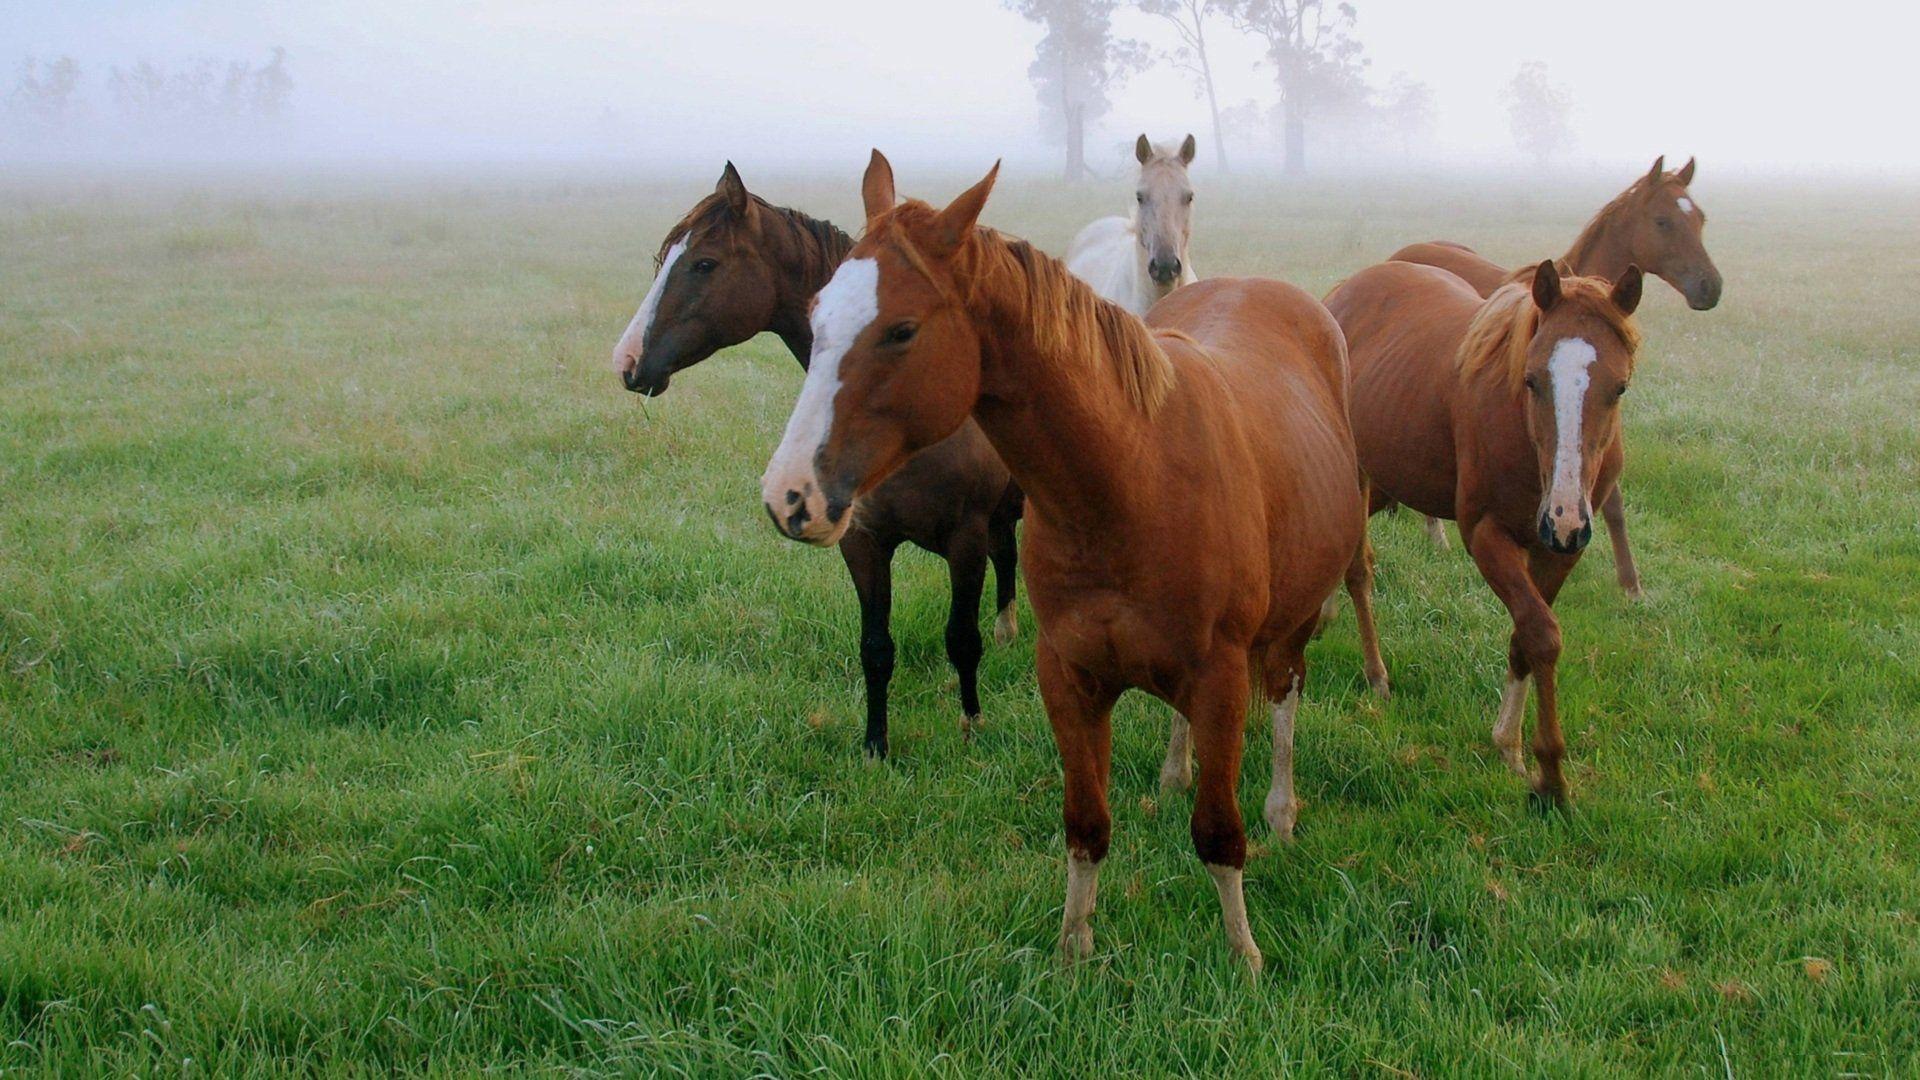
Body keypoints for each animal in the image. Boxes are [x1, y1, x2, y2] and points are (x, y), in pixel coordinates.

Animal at [611, 162, 1024, 758]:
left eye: (704, 263)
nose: (627, 362)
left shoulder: (963, 539)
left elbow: (961, 640)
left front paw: (971, 725)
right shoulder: (863, 542)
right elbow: (876, 648)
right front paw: (875, 748)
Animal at [1326, 259, 1644, 807]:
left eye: (1619, 387)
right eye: (1532, 380)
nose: (1563, 516)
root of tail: (1344, 290)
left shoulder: (1558, 552)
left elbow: (1525, 635)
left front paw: (1509, 746)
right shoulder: (1486, 536)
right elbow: (1541, 634)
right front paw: (1550, 776)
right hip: (1358, 472)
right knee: (1358, 570)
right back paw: (1376, 674)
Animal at [1386, 156, 1721, 595]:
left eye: (1699, 218)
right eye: (1663, 221)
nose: (1710, 287)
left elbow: (1610, 501)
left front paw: (1631, 585)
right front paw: (1630, 583)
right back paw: (1435, 533)